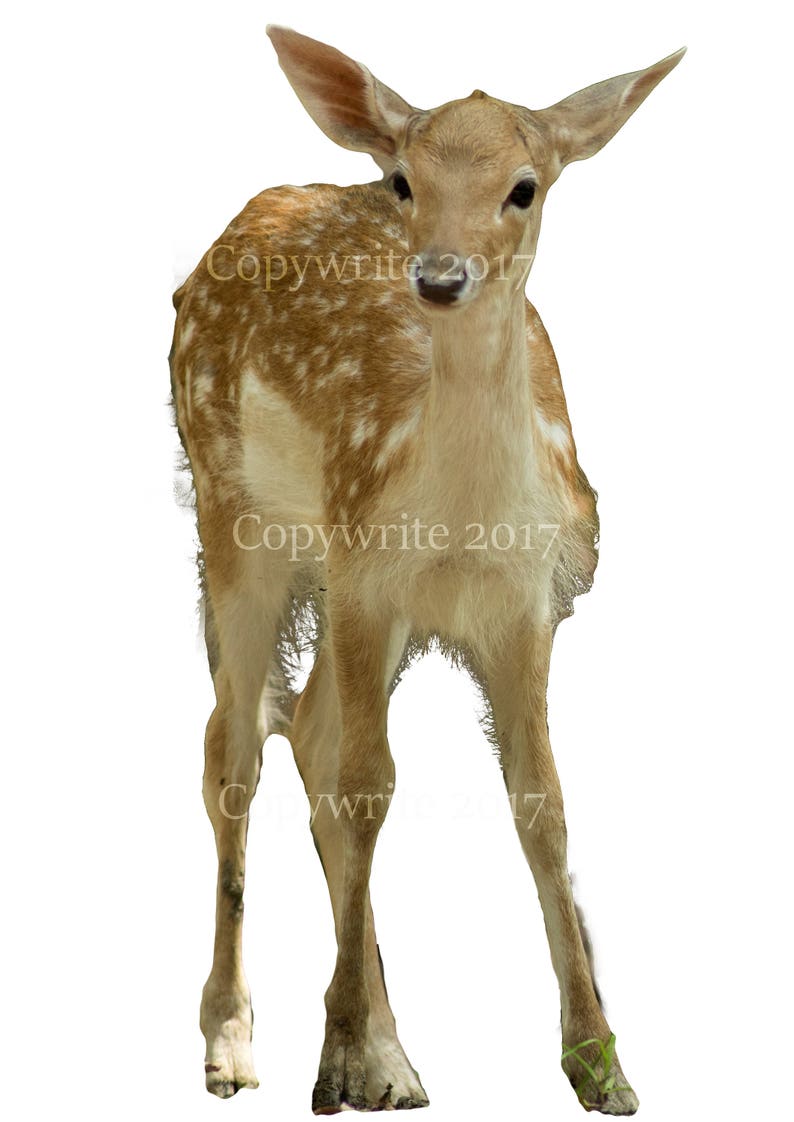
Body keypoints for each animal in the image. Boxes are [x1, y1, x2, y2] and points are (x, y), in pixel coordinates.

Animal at [169, 25, 684, 1116]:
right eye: (403, 181)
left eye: (524, 186)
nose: (441, 277)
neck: (458, 520)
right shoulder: (366, 565)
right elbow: (370, 785)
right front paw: (335, 1056)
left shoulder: (522, 604)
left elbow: (542, 803)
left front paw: (600, 1063)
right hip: (237, 518)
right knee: (235, 749)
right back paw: (235, 1043)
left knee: (308, 732)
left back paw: (390, 1054)